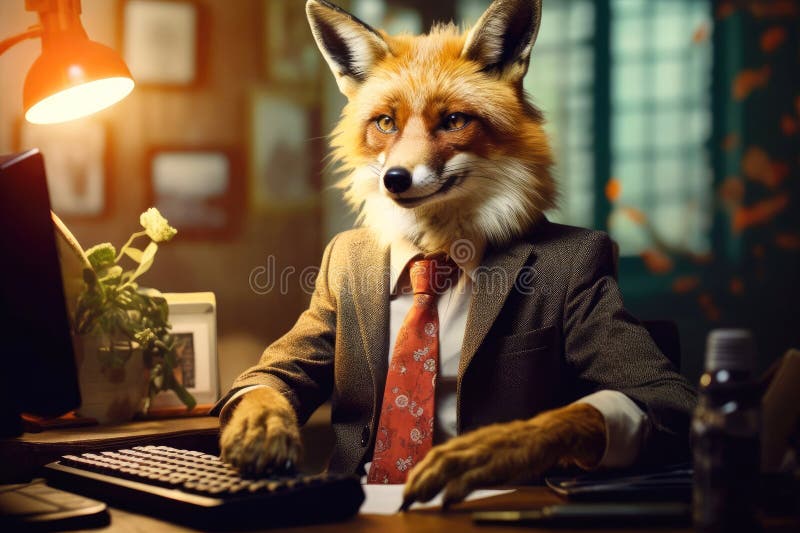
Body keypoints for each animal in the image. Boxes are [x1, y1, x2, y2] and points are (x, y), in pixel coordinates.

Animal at [218, 0, 694, 509]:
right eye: (386, 123)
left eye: (453, 121)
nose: (396, 179)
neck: (434, 250)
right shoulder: (317, 315)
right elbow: (268, 379)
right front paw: (261, 425)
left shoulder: (648, 375)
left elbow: (636, 396)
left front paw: (487, 449)